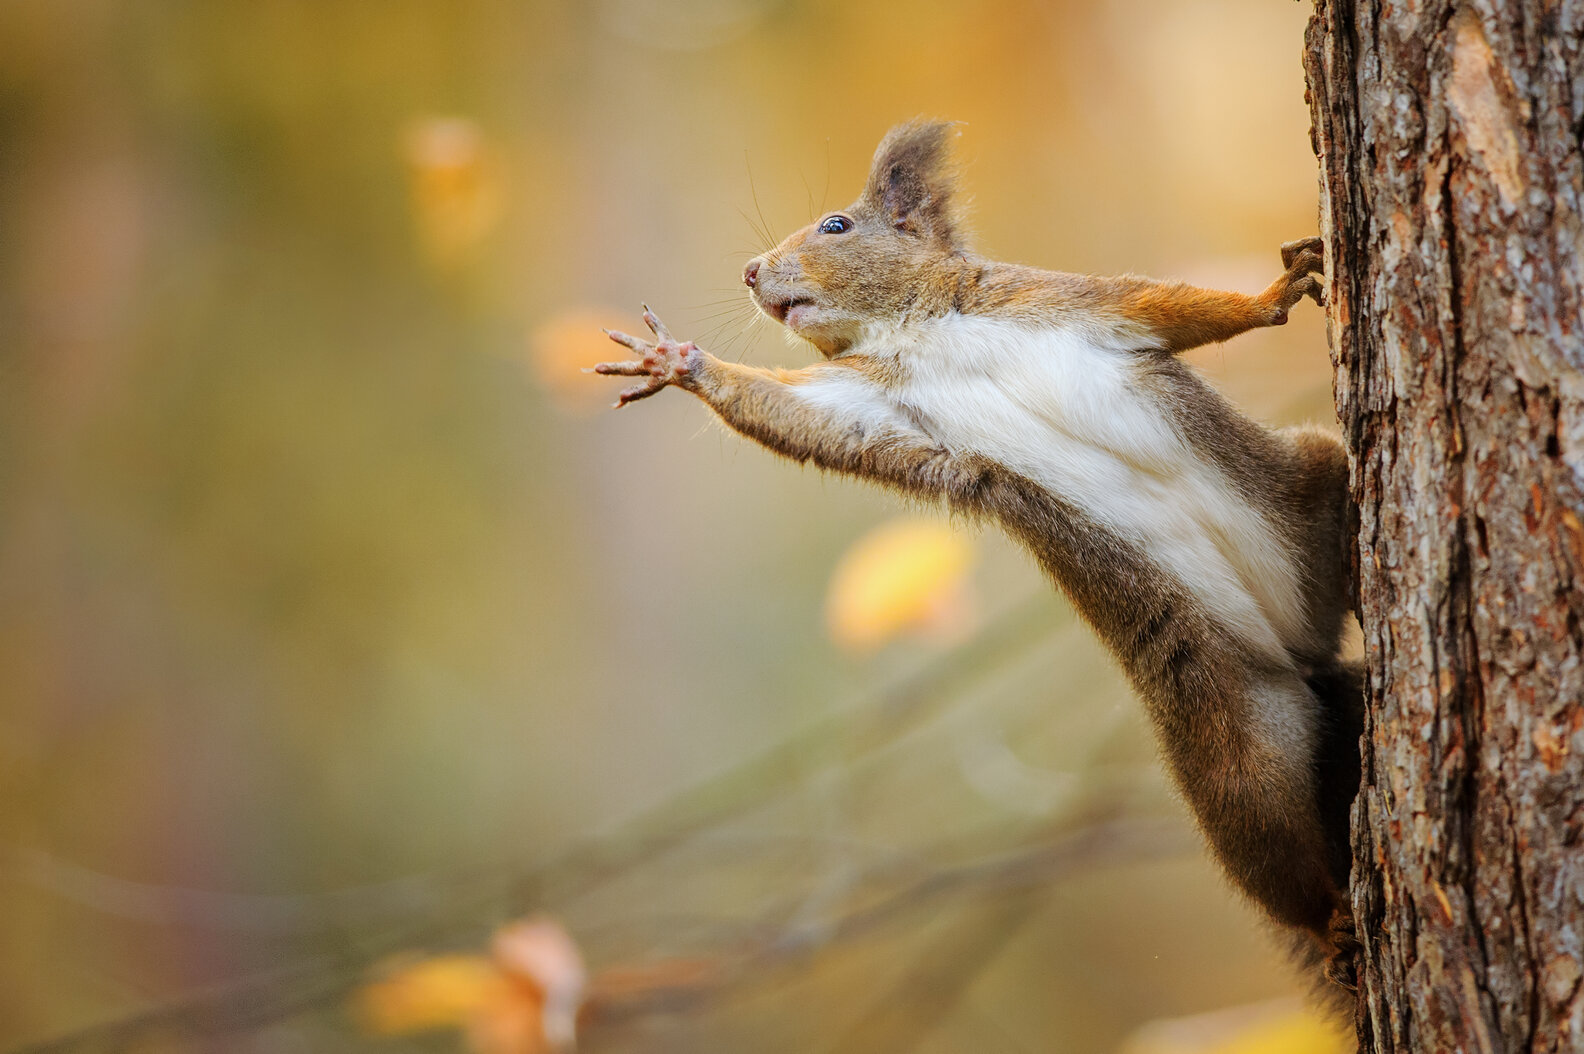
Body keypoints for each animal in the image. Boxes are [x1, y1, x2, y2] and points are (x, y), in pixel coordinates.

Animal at [594, 121, 1363, 985]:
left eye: (836, 225)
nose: (752, 271)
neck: (916, 329)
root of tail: (1303, 652)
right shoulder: (869, 402)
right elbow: (792, 414)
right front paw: (680, 364)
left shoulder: (1057, 301)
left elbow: (1165, 305)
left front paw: (1273, 295)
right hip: (1233, 745)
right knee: (1272, 850)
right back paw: (1330, 922)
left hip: (1307, 482)